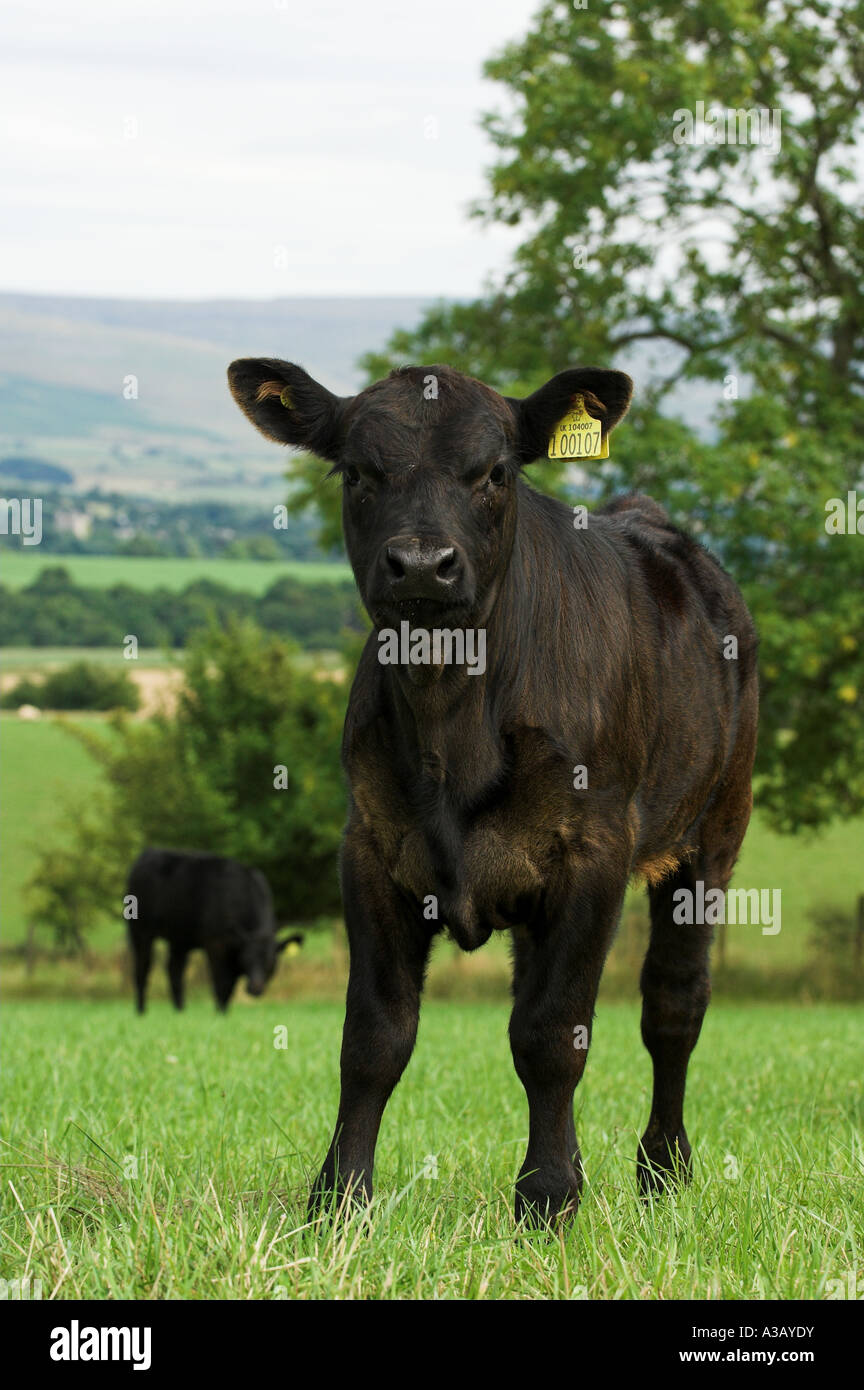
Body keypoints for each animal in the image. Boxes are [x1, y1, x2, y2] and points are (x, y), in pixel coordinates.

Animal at [126, 848, 301, 1013]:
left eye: (270, 961)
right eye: (247, 958)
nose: (255, 988)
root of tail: (148, 852)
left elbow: (230, 988)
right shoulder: (216, 944)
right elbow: (222, 983)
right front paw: (220, 1014)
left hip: (179, 938)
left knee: (174, 970)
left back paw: (180, 1011)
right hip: (140, 930)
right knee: (142, 968)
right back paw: (141, 1011)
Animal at [227, 357, 758, 1224]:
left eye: (495, 473)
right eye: (358, 472)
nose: (420, 563)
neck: (453, 717)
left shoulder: (594, 853)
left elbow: (550, 1034)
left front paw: (547, 1196)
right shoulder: (369, 847)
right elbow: (374, 1036)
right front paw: (339, 1197)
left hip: (714, 831)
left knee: (673, 1007)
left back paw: (663, 1169)